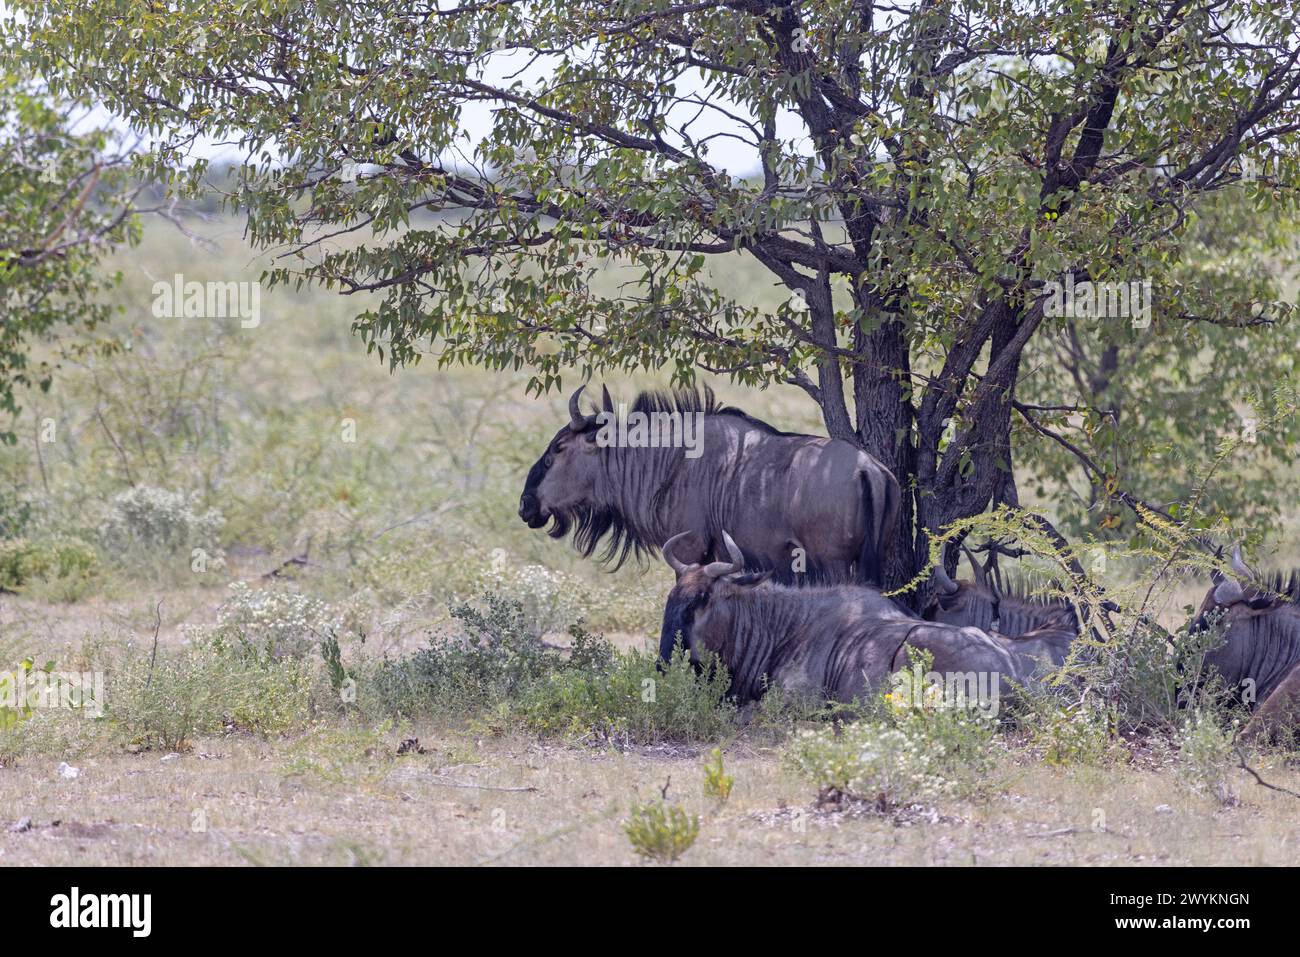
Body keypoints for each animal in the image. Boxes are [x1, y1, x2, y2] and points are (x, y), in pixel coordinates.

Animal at [519, 385, 901, 584]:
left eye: (558, 449)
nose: (525, 505)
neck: (668, 461)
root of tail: (867, 469)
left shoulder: (688, 550)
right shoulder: (720, 554)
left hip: (835, 564)